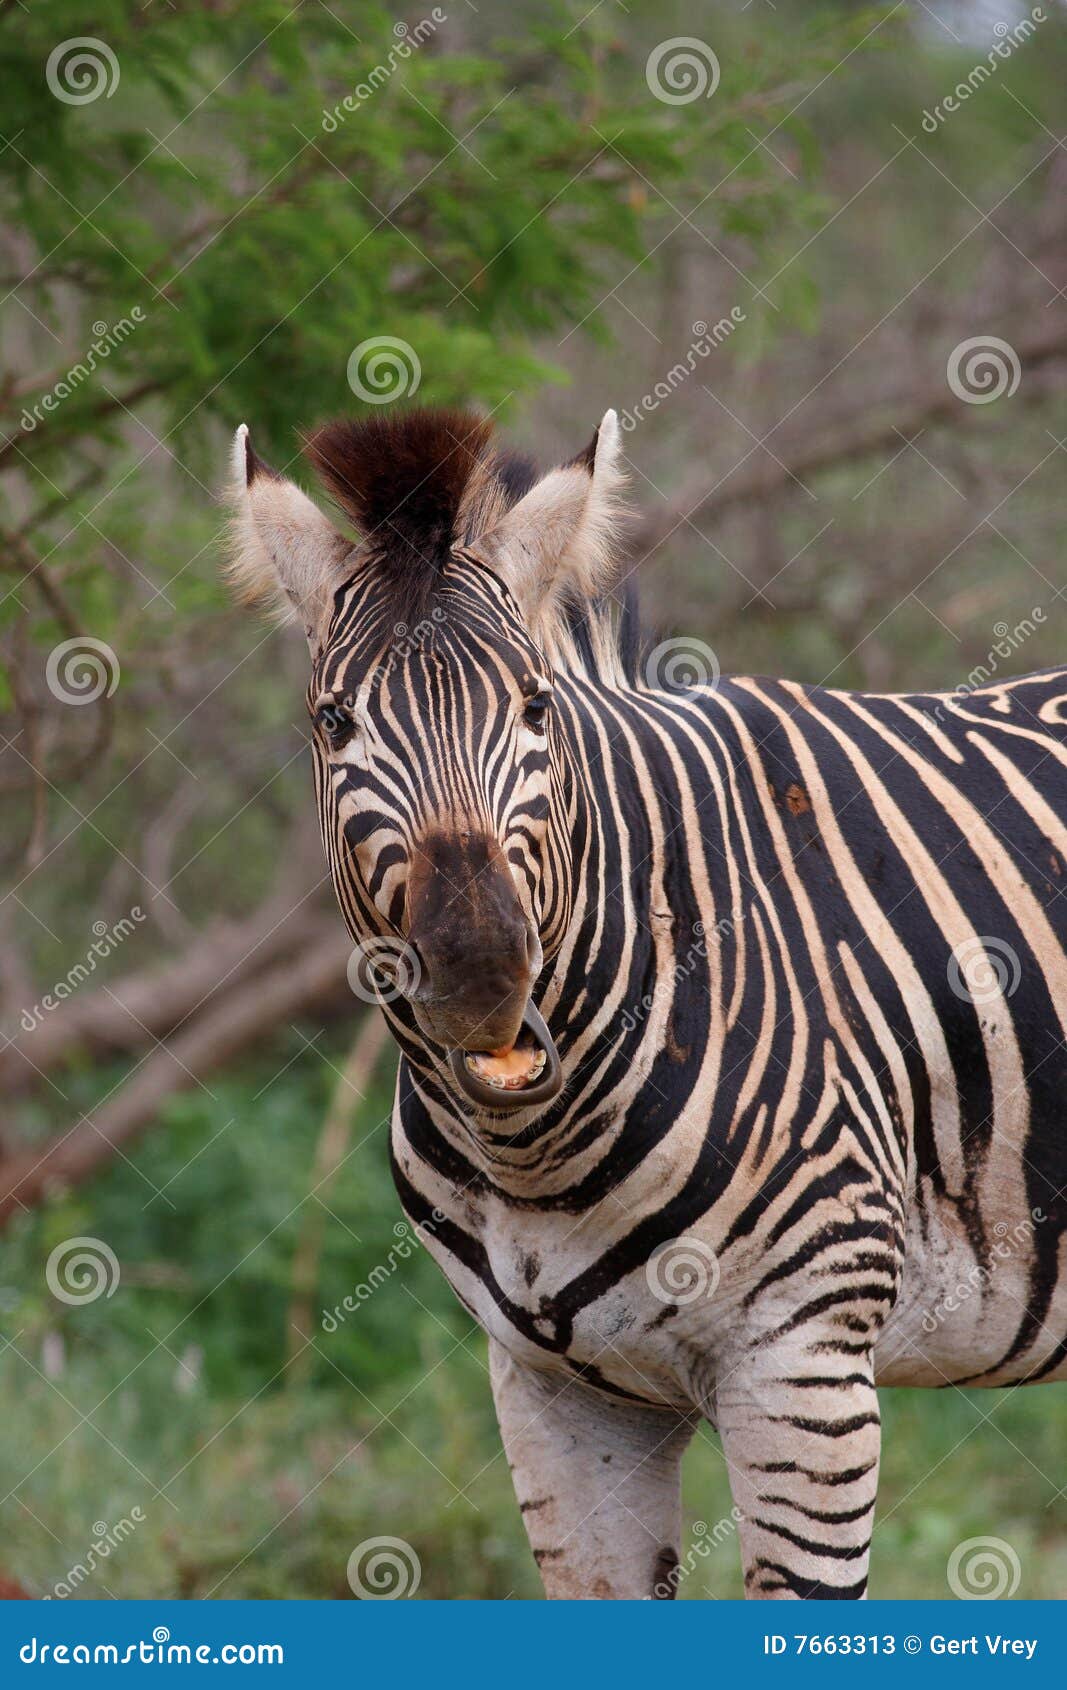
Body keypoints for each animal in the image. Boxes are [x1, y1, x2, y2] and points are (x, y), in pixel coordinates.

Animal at [225, 404, 1067, 1600]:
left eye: (534, 707)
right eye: (334, 723)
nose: (479, 970)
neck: (534, 1151)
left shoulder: (804, 1369)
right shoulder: (555, 1393)